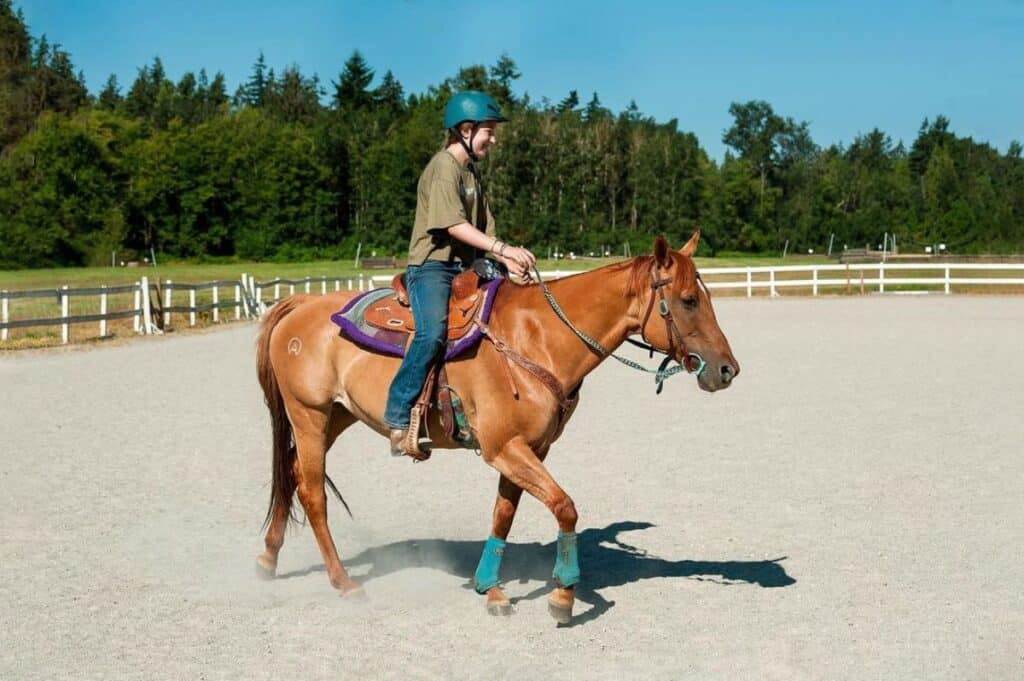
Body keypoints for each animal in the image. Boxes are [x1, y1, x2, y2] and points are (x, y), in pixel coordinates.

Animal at [254, 231, 739, 623]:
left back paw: (267, 560)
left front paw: (490, 588)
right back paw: (344, 582)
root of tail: (299, 304)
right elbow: (565, 506)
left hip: (337, 415)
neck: (538, 338)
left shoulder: (529, 448)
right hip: (309, 414)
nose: (727, 370)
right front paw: (563, 594)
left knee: (291, 475)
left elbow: (504, 513)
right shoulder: (504, 447)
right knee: (312, 492)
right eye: (689, 300)